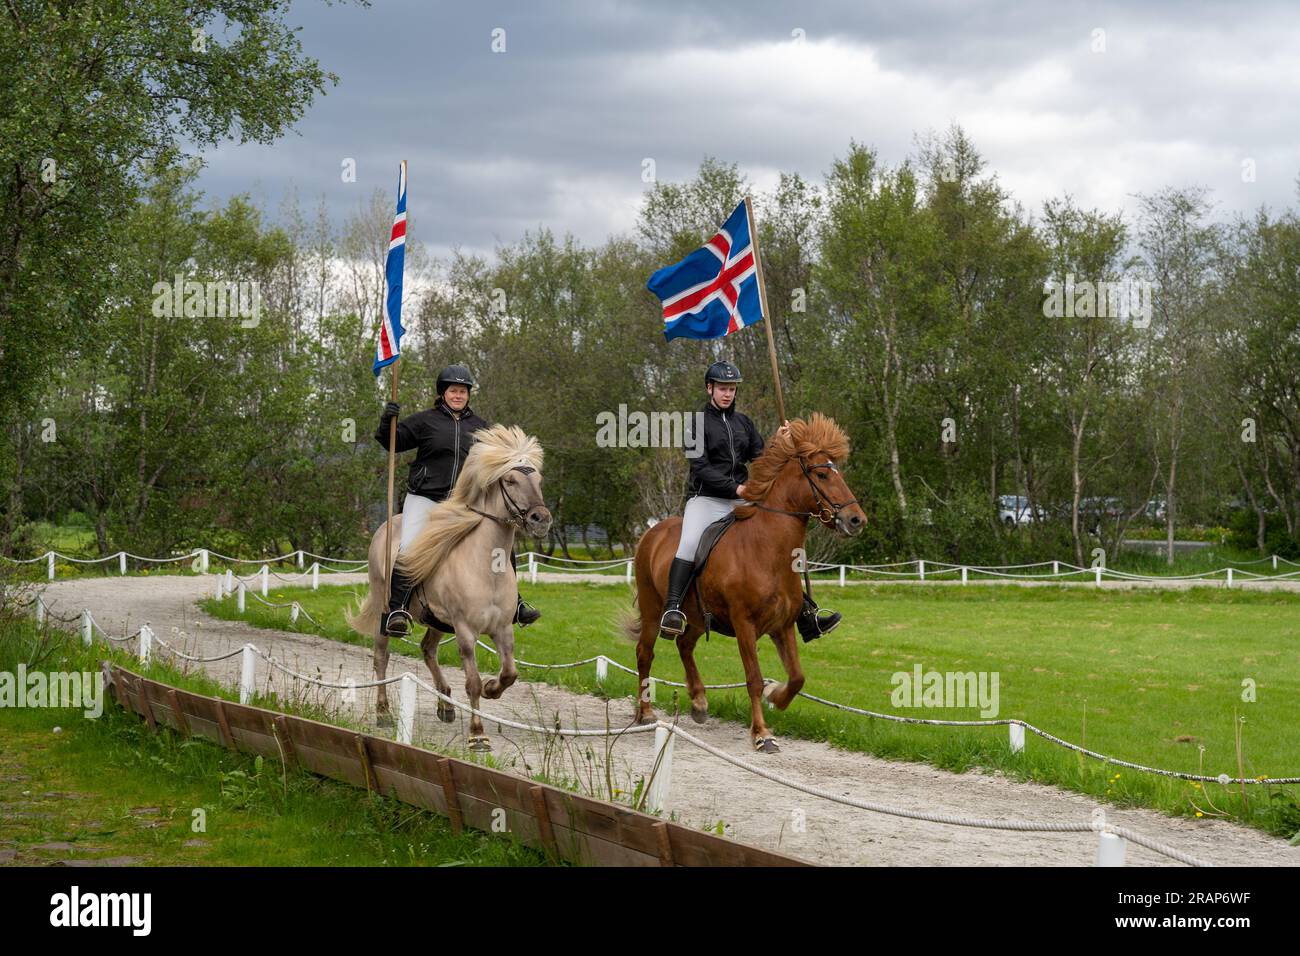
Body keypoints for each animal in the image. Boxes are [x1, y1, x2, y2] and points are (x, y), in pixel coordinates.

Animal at [346, 424, 551, 752]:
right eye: (510, 479)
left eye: (538, 479)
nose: (540, 520)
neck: (485, 565)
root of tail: (385, 527)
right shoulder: (466, 631)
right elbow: (472, 682)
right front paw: (478, 735)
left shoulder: (502, 629)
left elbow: (509, 673)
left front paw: (493, 688)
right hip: (385, 610)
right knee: (381, 658)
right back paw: (384, 712)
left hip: (437, 620)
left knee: (427, 649)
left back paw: (445, 705)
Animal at [628, 413, 866, 753]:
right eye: (821, 474)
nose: (857, 520)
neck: (766, 550)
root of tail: (651, 532)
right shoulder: (745, 625)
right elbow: (753, 678)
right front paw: (762, 734)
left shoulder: (783, 625)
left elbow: (797, 677)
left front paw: (775, 696)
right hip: (652, 612)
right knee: (645, 654)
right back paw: (646, 713)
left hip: (697, 617)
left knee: (685, 646)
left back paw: (699, 702)